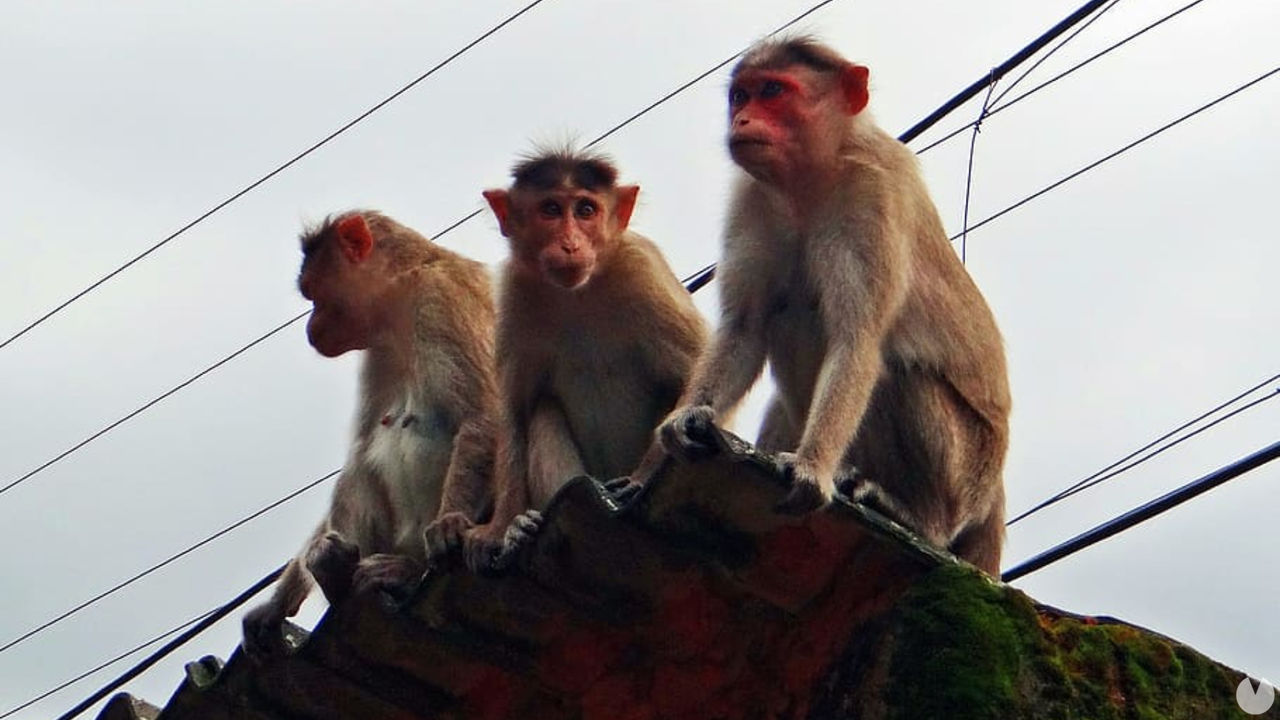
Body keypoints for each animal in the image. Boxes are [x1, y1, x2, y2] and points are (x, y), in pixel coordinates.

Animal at [242, 210, 497, 658]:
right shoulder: (378, 351)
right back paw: (337, 574)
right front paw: (275, 604)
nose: (310, 326)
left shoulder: (441, 299)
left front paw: (450, 525)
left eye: (314, 293)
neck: (401, 295)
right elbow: (362, 447)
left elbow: (484, 412)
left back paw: (406, 574)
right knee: (359, 467)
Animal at [459, 148, 707, 572]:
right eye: (551, 209)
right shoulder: (514, 293)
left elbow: (698, 366)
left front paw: (642, 479)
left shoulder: (643, 268)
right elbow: (515, 411)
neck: (576, 293)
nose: (571, 244)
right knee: (542, 411)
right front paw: (502, 528)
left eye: (586, 209)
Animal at [654, 37, 1011, 574]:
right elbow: (745, 328)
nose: (741, 120)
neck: (811, 180)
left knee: (896, 371)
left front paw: (811, 468)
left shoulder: (872, 198)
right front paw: (686, 418)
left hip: (968, 472)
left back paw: (917, 517)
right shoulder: (752, 198)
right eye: (740, 96)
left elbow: (857, 339)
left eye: (773, 91)